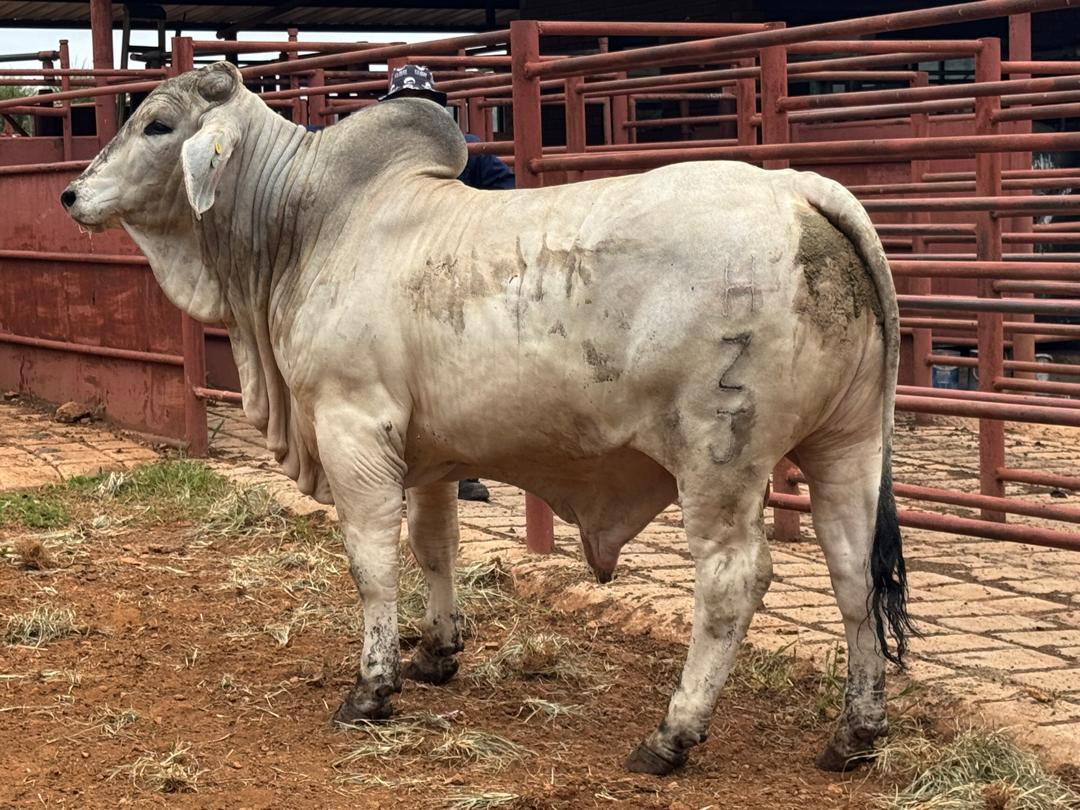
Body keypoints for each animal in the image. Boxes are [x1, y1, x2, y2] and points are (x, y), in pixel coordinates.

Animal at [61, 61, 910, 776]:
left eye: (158, 125)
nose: (71, 195)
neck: (305, 226)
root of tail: (796, 190)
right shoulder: (427, 453)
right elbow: (434, 545)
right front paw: (437, 654)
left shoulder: (352, 424)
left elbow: (370, 558)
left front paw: (372, 686)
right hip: (848, 445)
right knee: (851, 572)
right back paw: (856, 733)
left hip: (720, 459)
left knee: (734, 581)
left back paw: (672, 734)